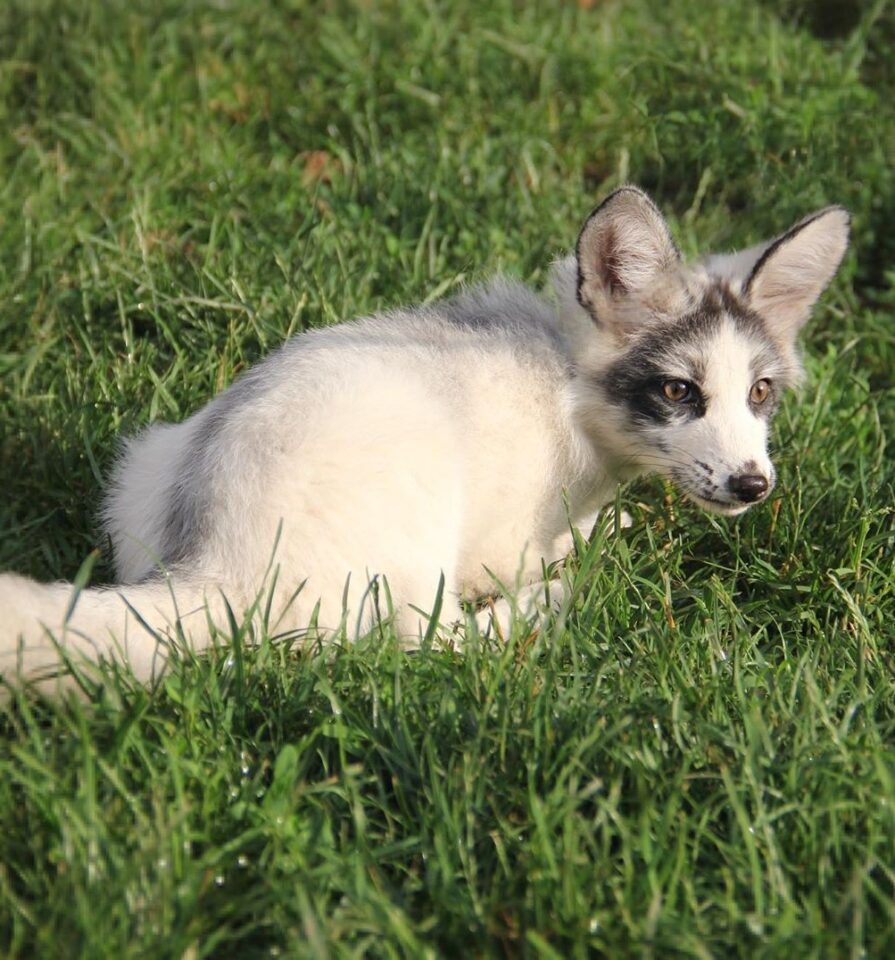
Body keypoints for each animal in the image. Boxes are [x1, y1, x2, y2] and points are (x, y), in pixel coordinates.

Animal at [0, 187, 850, 693]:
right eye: (677, 391)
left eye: (759, 392)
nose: (752, 486)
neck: (564, 382)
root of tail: (216, 567)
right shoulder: (509, 536)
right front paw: (594, 542)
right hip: (419, 542)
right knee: (423, 645)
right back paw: (550, 601)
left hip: (144, 458)